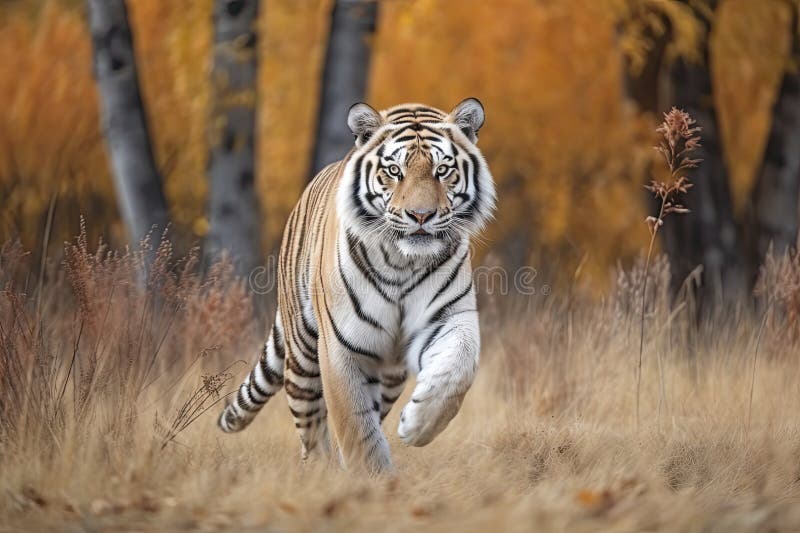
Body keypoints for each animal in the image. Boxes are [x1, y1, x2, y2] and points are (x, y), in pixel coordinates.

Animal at [218, 98, 496, 473]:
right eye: (394, 171)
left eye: (442, 170)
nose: (421, 216)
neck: (403, 262)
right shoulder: (342, 344)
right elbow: (353, 422)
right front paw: (370, 476)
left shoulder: (449, 317)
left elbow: (457, 369)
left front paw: (417, 425)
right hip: (302, 354)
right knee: (311, 426)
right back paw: (319, 470)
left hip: (390, 374)